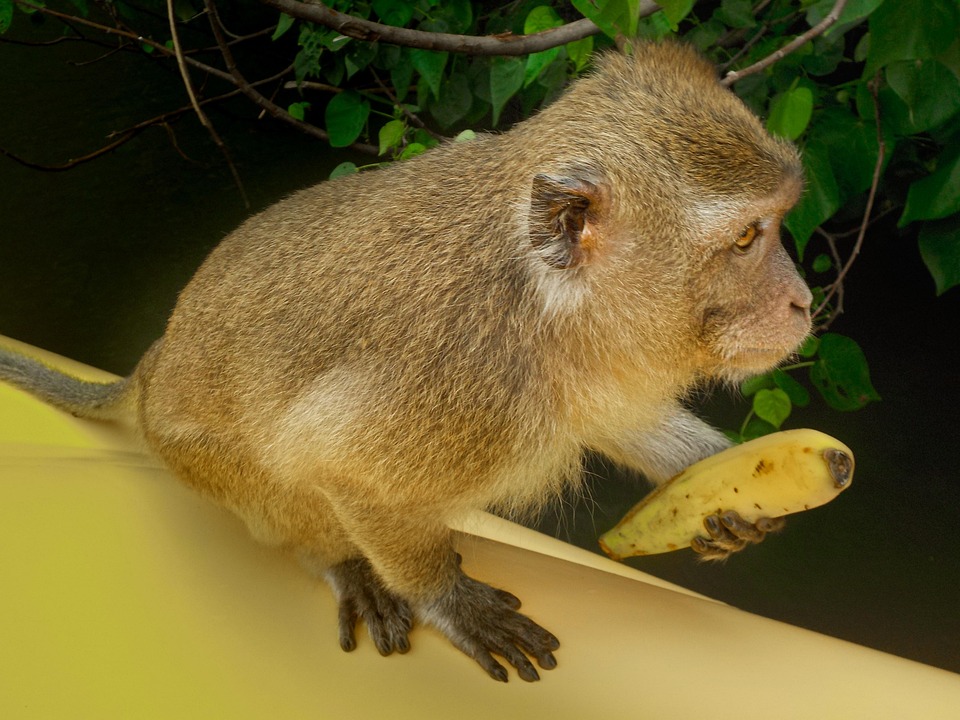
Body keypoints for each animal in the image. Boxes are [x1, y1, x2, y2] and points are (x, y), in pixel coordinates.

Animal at [0, 41, 812, 683]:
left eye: (776, 223)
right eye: (748, 238)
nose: (804, 300)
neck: (539, 300)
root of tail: (158, 359)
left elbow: (609, 413)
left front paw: (712, 483)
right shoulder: (464, 392)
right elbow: (341, 466)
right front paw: (442, 598)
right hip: (198, 459)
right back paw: (340, 562)